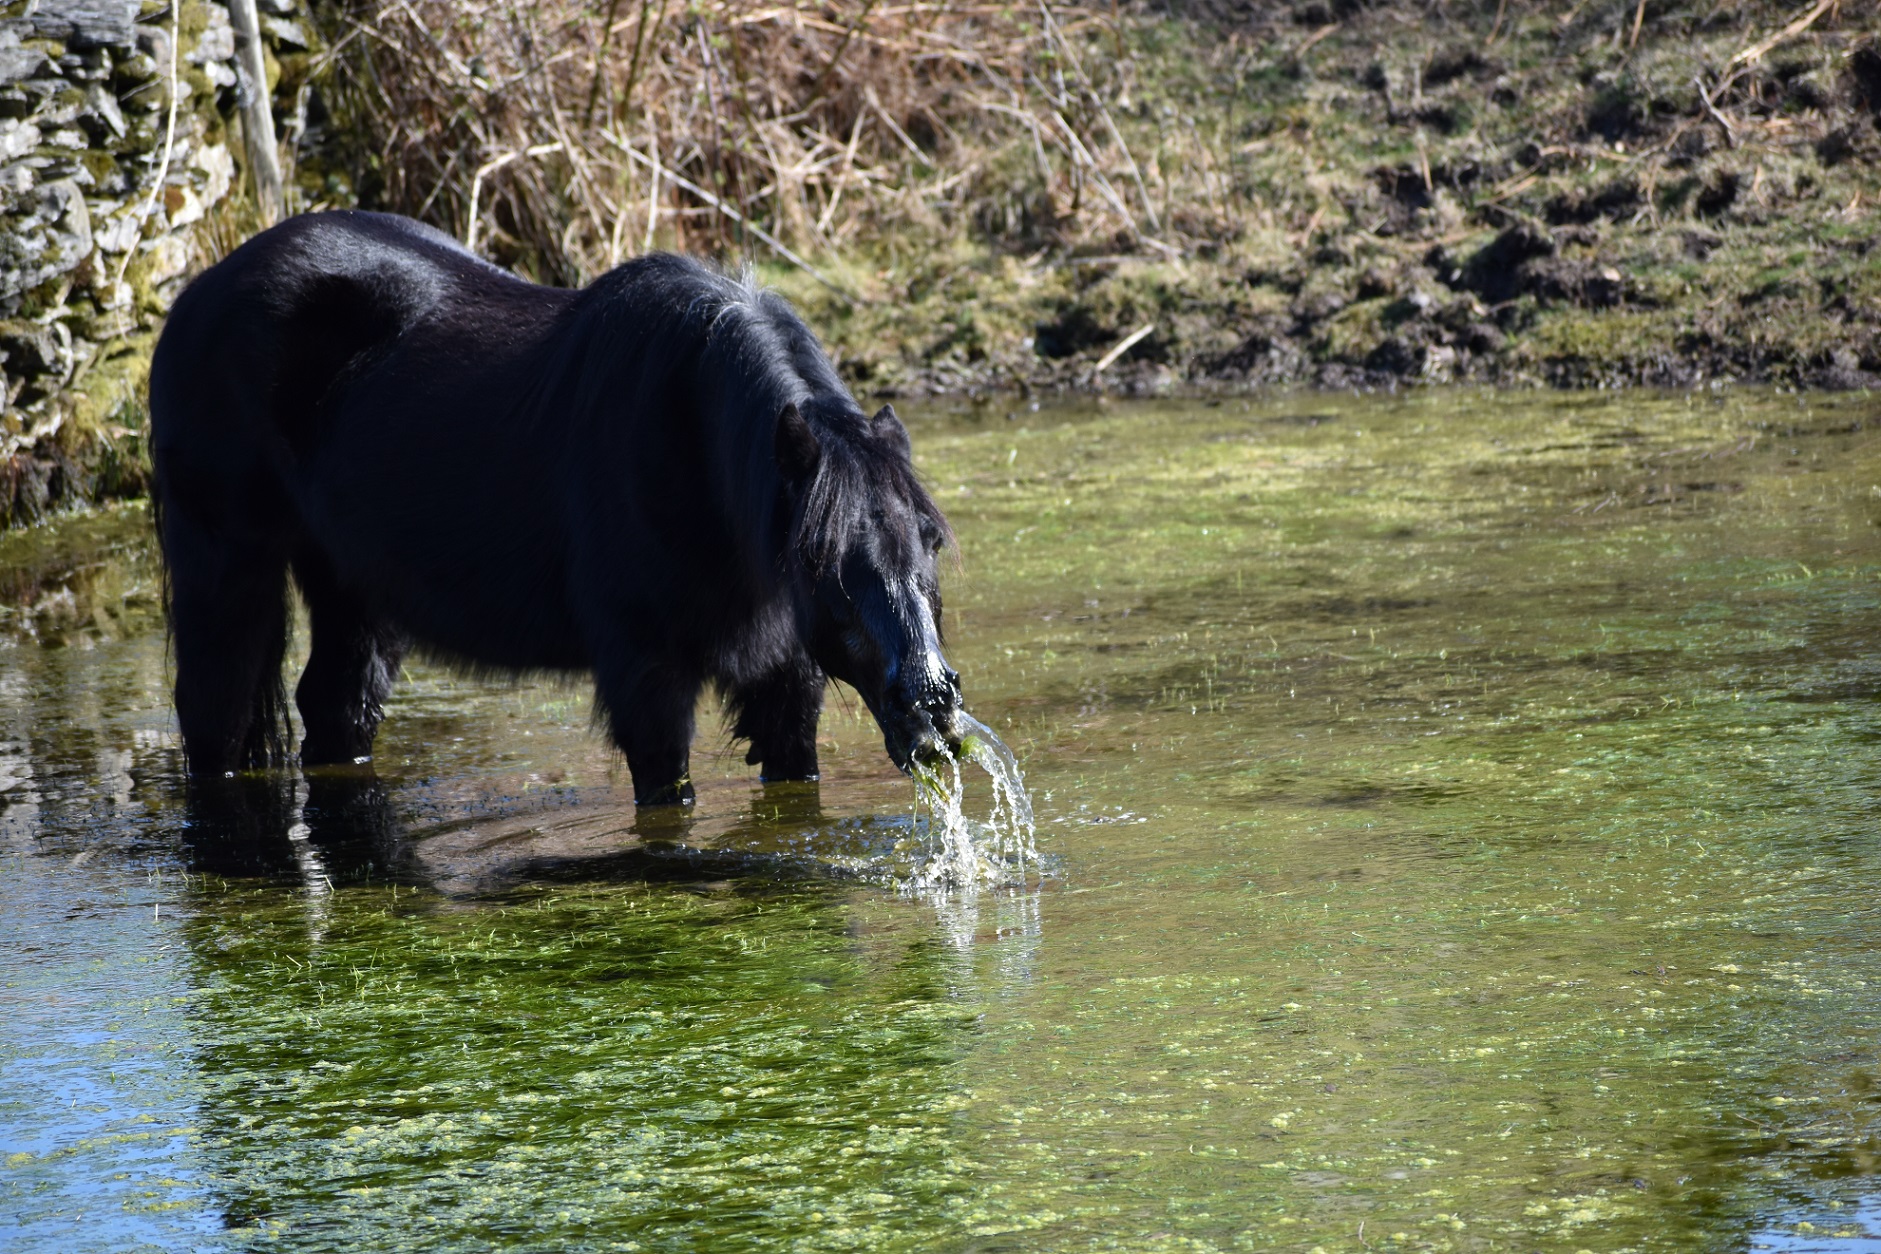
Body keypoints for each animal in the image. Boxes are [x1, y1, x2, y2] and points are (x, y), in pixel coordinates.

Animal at [149, 210, 963, 806]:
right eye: (822, 555)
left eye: (929, 539)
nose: (931, 707)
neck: (689, 440)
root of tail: (196, 296)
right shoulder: (648, 682)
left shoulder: (786, 682)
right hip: (226, 571)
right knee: (214, 716)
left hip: (353, 591)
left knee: (334, 708)